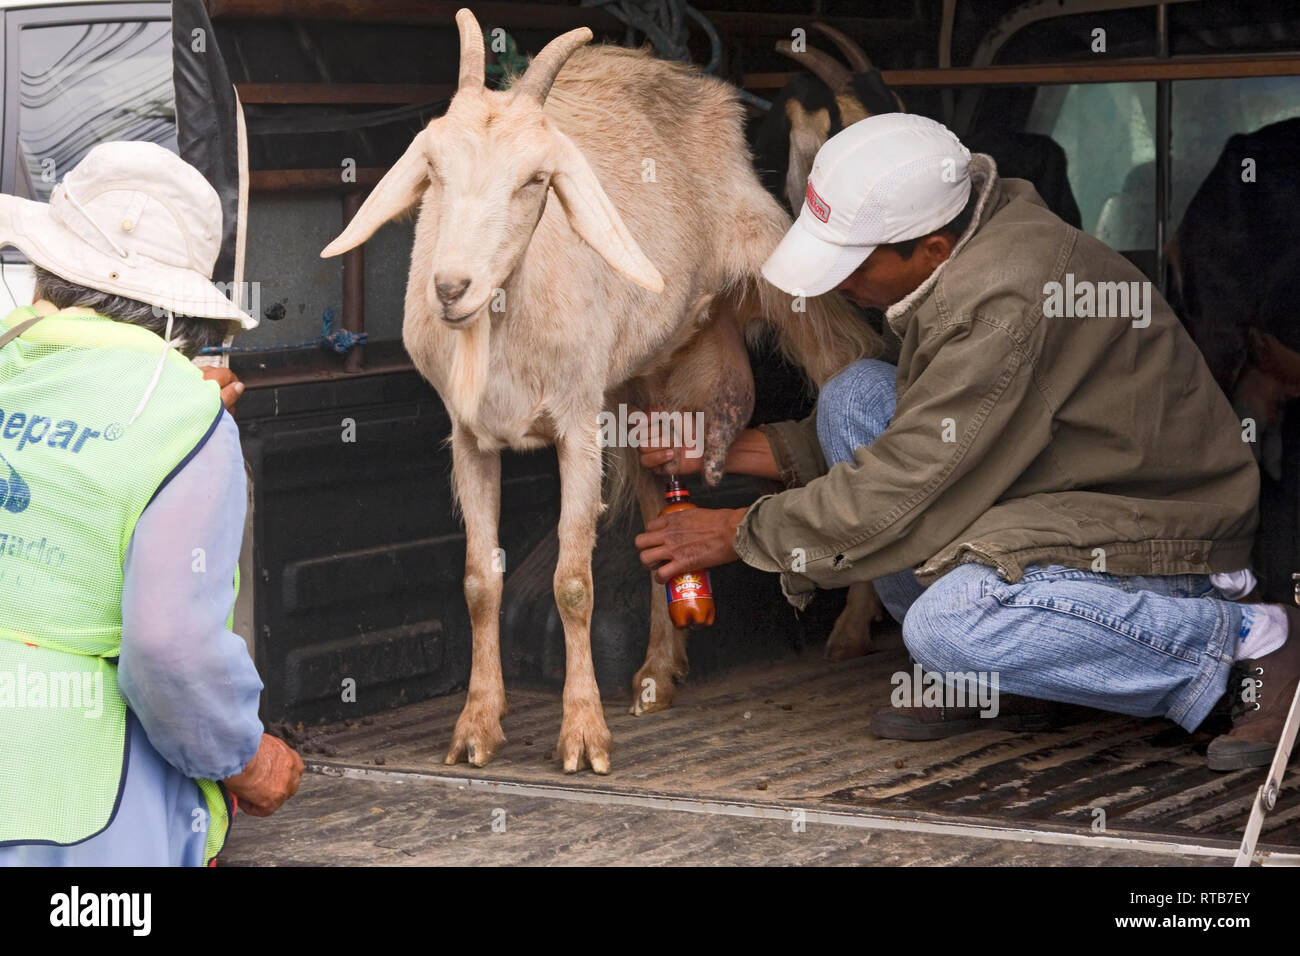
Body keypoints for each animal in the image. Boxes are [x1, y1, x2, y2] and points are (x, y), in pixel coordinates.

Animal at [321, 8, 880, 773]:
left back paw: (852, 628)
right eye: (433, 170)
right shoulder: (469, 438)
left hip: (782, 274)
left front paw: (583, 734)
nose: (451, 287)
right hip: (637, 389)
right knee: (654, 514)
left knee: (850, 375)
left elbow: (573, 582)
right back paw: (656, 672)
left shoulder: (576, 426)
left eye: (536, 179)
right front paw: (477, 724)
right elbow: (478, 582)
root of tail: (691, 80)